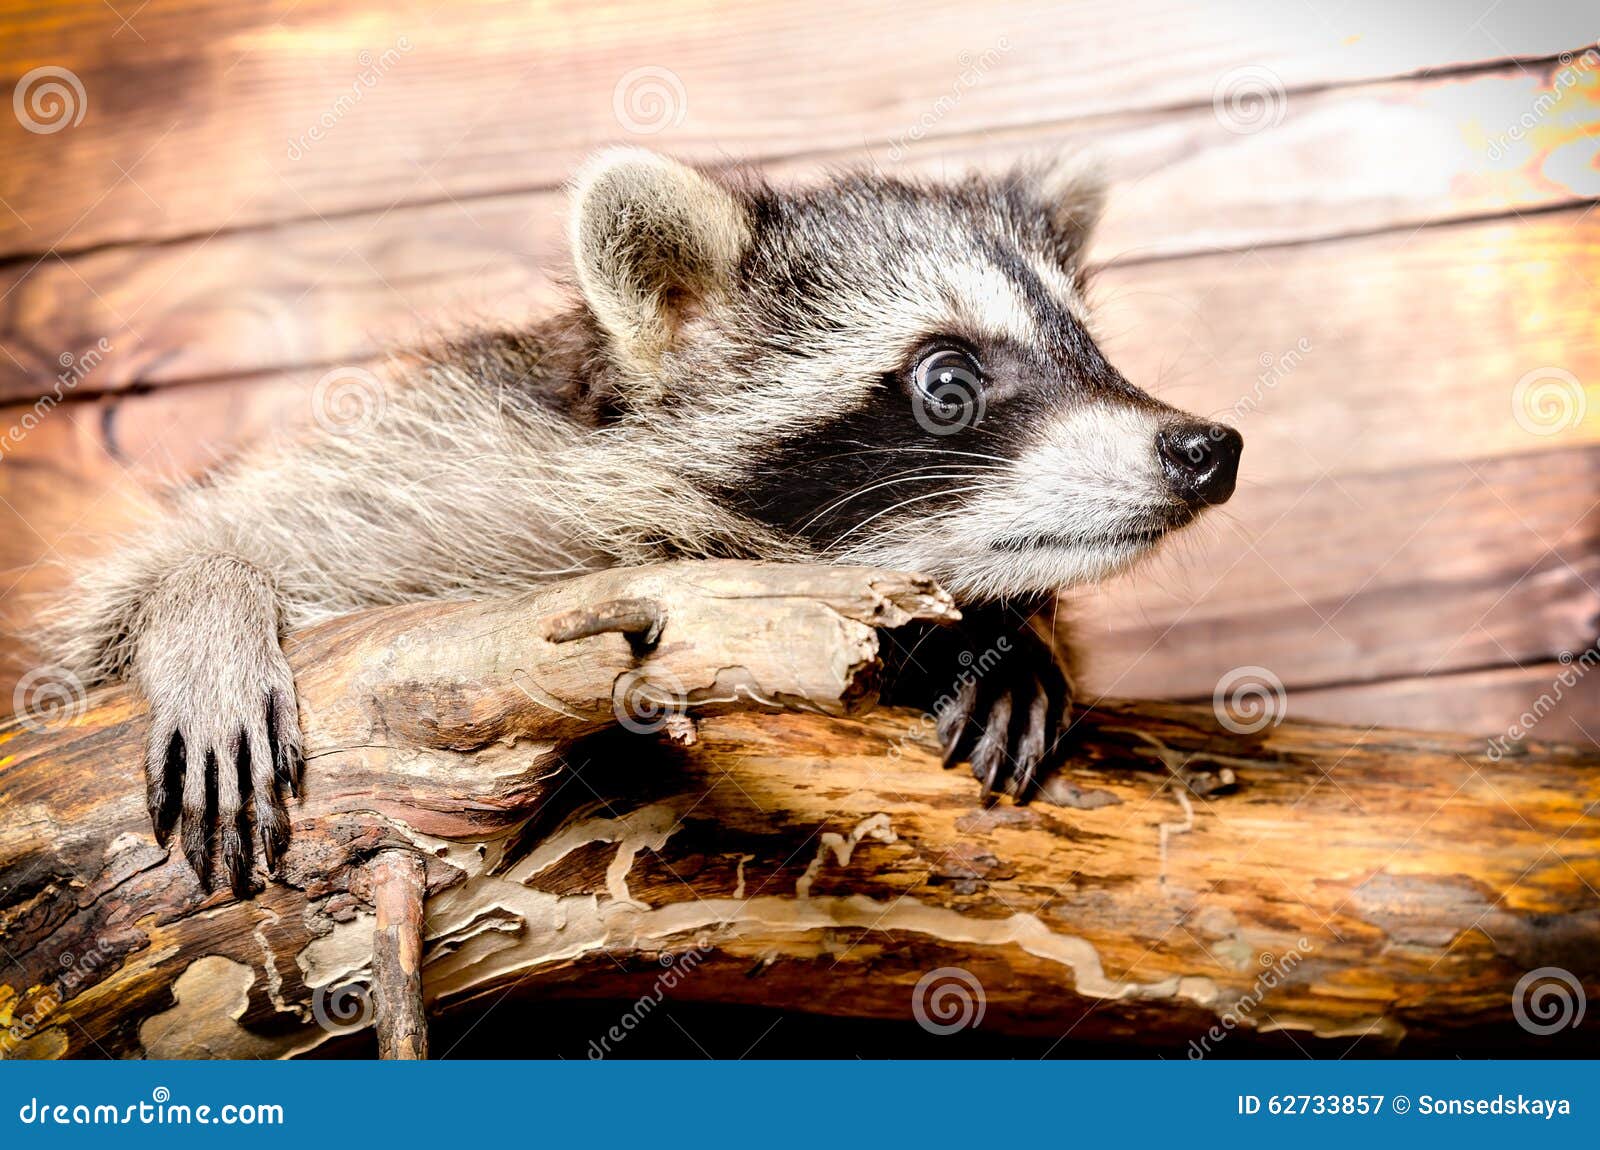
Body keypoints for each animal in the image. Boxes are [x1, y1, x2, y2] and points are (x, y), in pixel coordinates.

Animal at [42, 148, 1241, 894]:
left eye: (1091, 350)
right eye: (948, 379)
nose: (1207, 449)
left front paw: (1005, 635)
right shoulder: (428, 470)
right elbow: (157, 585)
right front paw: (206, 596)